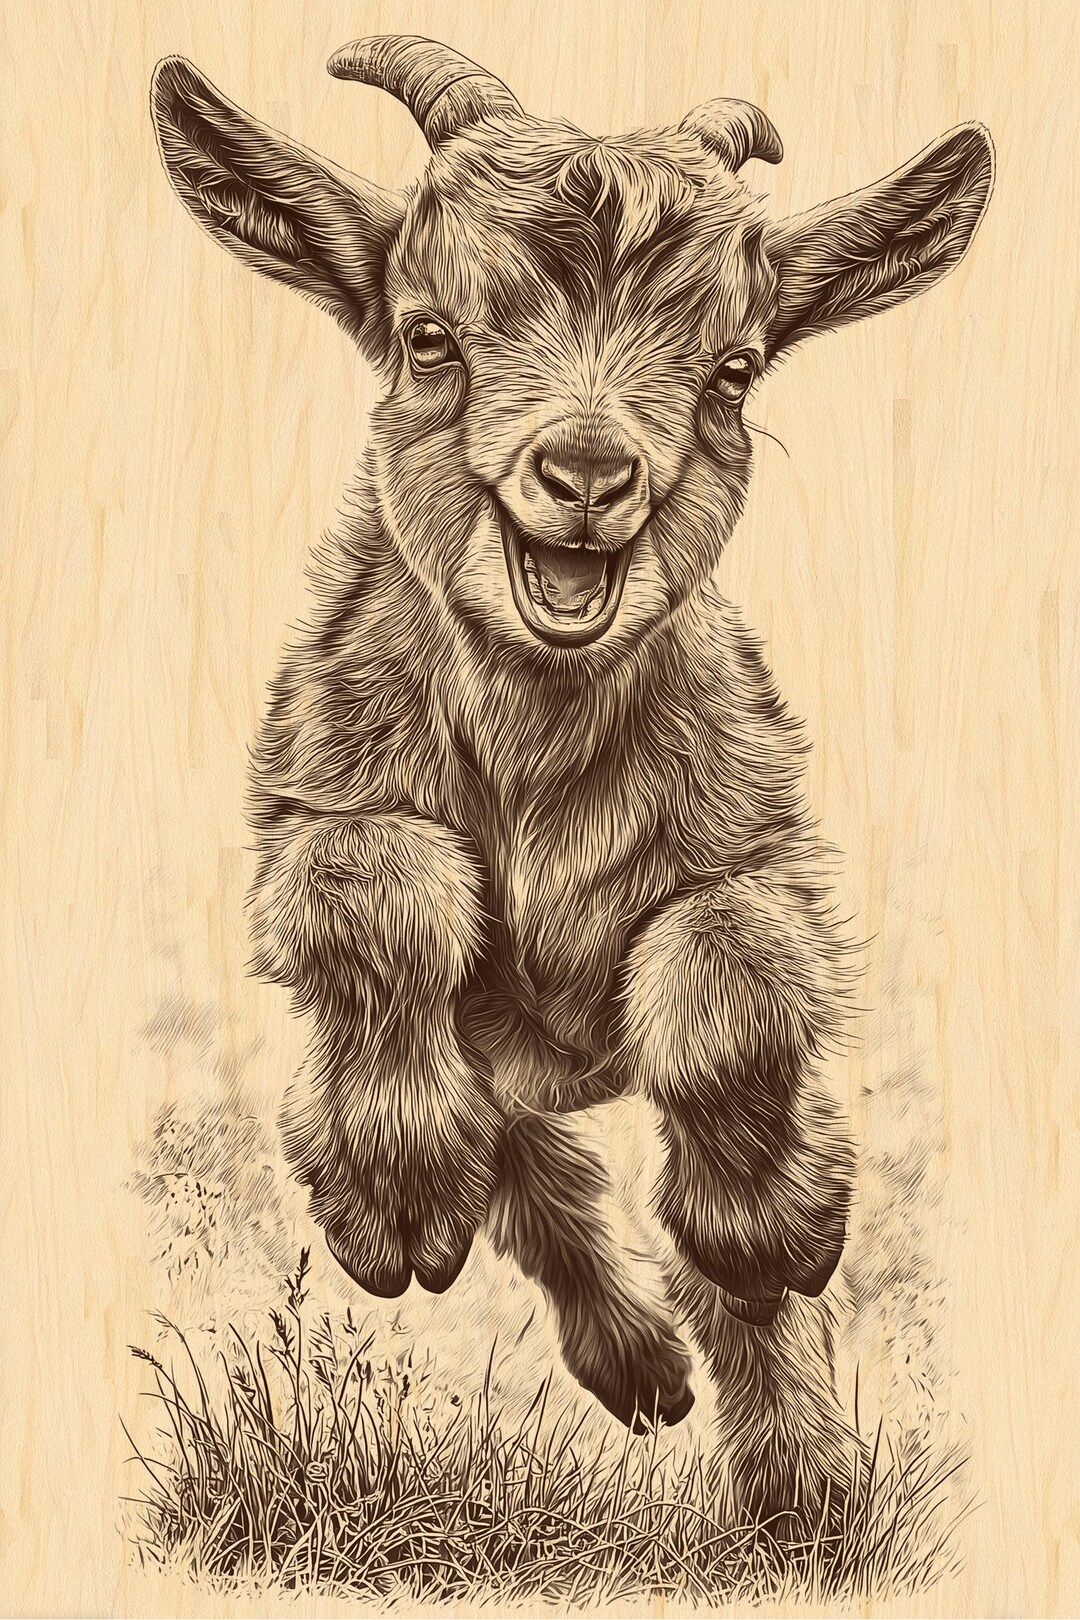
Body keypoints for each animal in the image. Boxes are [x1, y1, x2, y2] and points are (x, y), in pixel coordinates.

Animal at [151, 37, 992, 1522]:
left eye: (733, 371)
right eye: (430, 336)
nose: (590, 472)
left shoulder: (760, 848)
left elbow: (732, 978)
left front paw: (773, 1223)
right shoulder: (314, 804)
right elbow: (378, 883)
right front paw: (394, 1185)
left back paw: (802, 1485)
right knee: (525, 1150)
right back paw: (616, 1348)